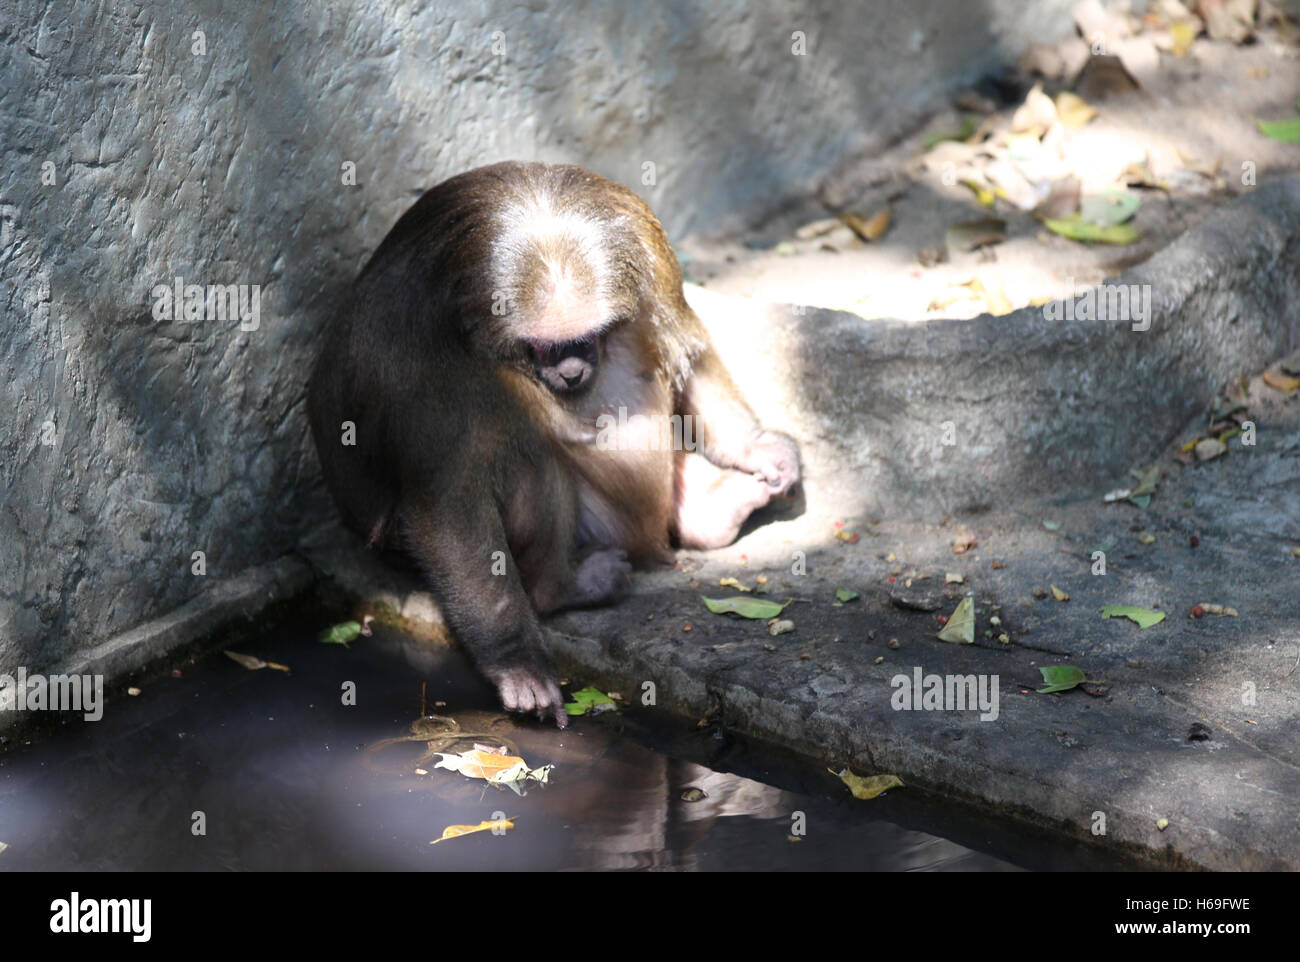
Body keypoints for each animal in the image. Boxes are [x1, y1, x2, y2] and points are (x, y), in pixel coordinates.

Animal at [307, 161, 800, 727]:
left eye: (585, 338)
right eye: (543, 348)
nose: (571, 371)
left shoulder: (646, 251)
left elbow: (685, 348)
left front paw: (755, 447)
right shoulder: (424, 363)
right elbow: (450, 508)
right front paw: (515, 658)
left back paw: (710, 506)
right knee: (522, 444)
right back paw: (561, 588)